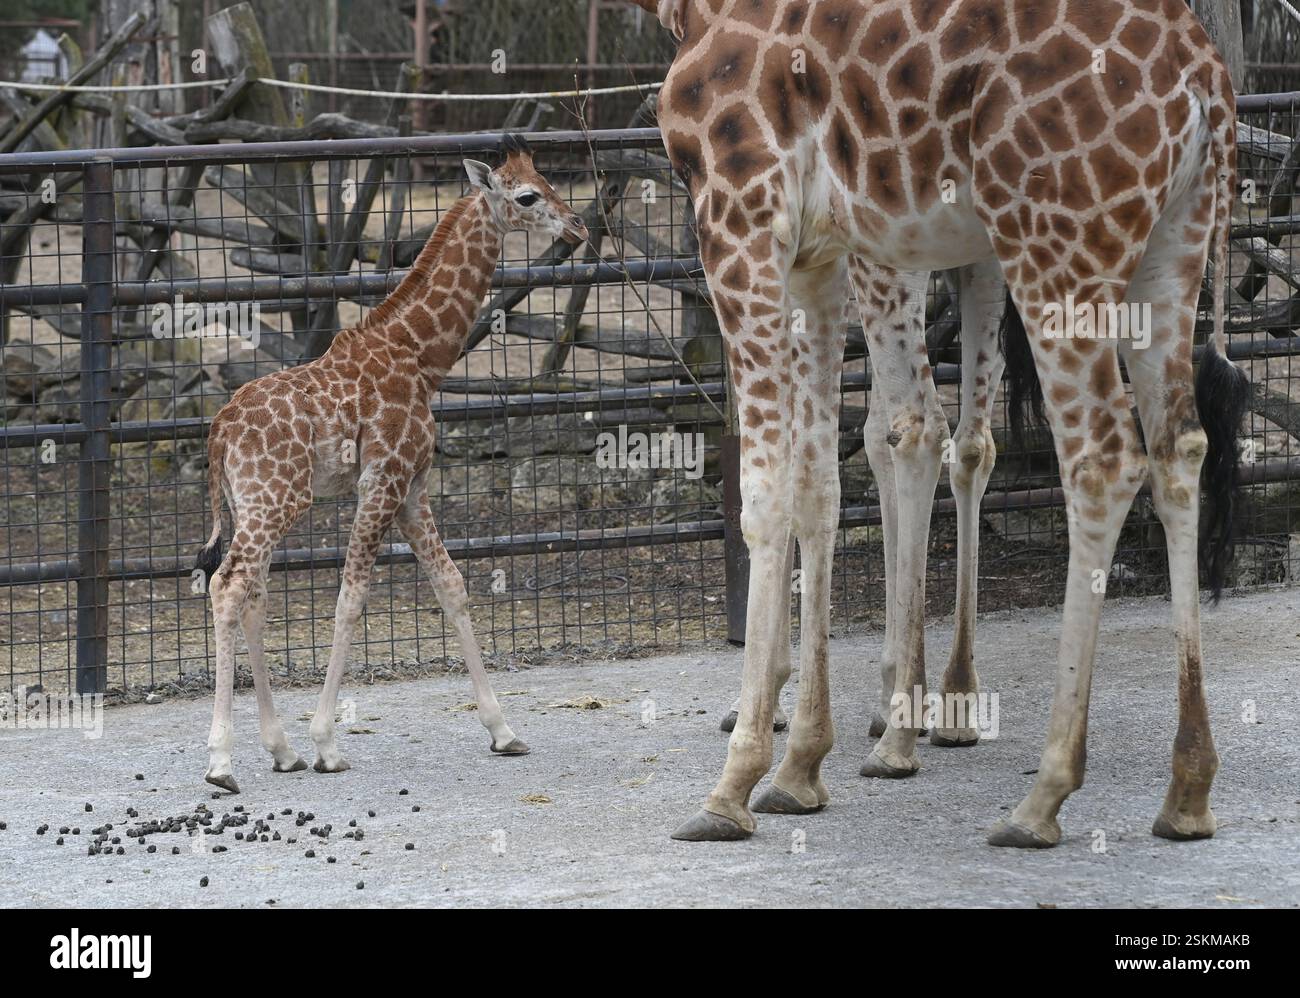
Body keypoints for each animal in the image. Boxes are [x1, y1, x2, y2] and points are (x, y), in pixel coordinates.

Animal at [194, 136, 588, 793]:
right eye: (529, 196)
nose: (579, 225)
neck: (423, 356)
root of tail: (219, 432)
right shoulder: (383, 481)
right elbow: (351, 599)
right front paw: (328, 743)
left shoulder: (413, 488)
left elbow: (452, 585)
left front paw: (504, 730)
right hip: (277, 499)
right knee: (228, 587)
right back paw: (222, 763)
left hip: (258, 504)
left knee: (253, 595)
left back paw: (280, 750)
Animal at [633, 0, 1246, 847]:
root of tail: (1204, 78)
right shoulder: (817, 251)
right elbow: (820, 484)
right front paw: (803, 762)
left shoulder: (739, 209)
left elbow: (767, 493)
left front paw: (738, 777)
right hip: (1169, 245)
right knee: (1176, 449)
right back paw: (1186, 788)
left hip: (1053, 245)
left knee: (1096, 458)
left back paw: (1039, 793)